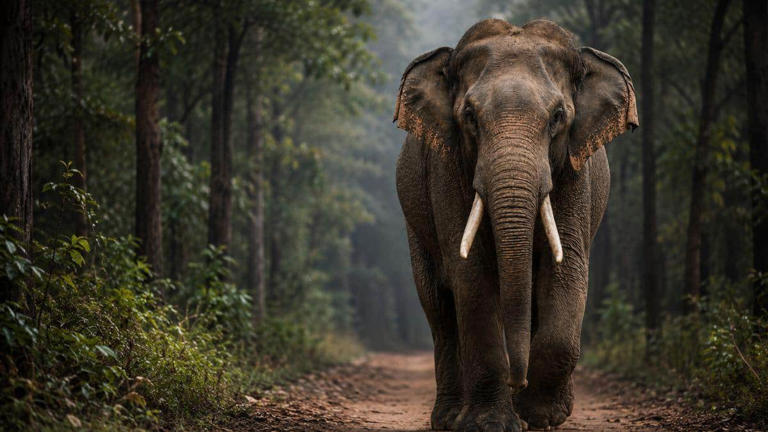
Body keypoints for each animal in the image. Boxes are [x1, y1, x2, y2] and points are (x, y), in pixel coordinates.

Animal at [394, 19, 637, 431]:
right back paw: (449, 417)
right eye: (469, 116)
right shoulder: (447, 170)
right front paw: (491, 423)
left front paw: (541, 416)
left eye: (558, 116)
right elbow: (470, 275)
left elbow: (566, 267)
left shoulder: (576, 173)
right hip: (415, 223)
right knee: (439, 308)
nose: (516, 381)